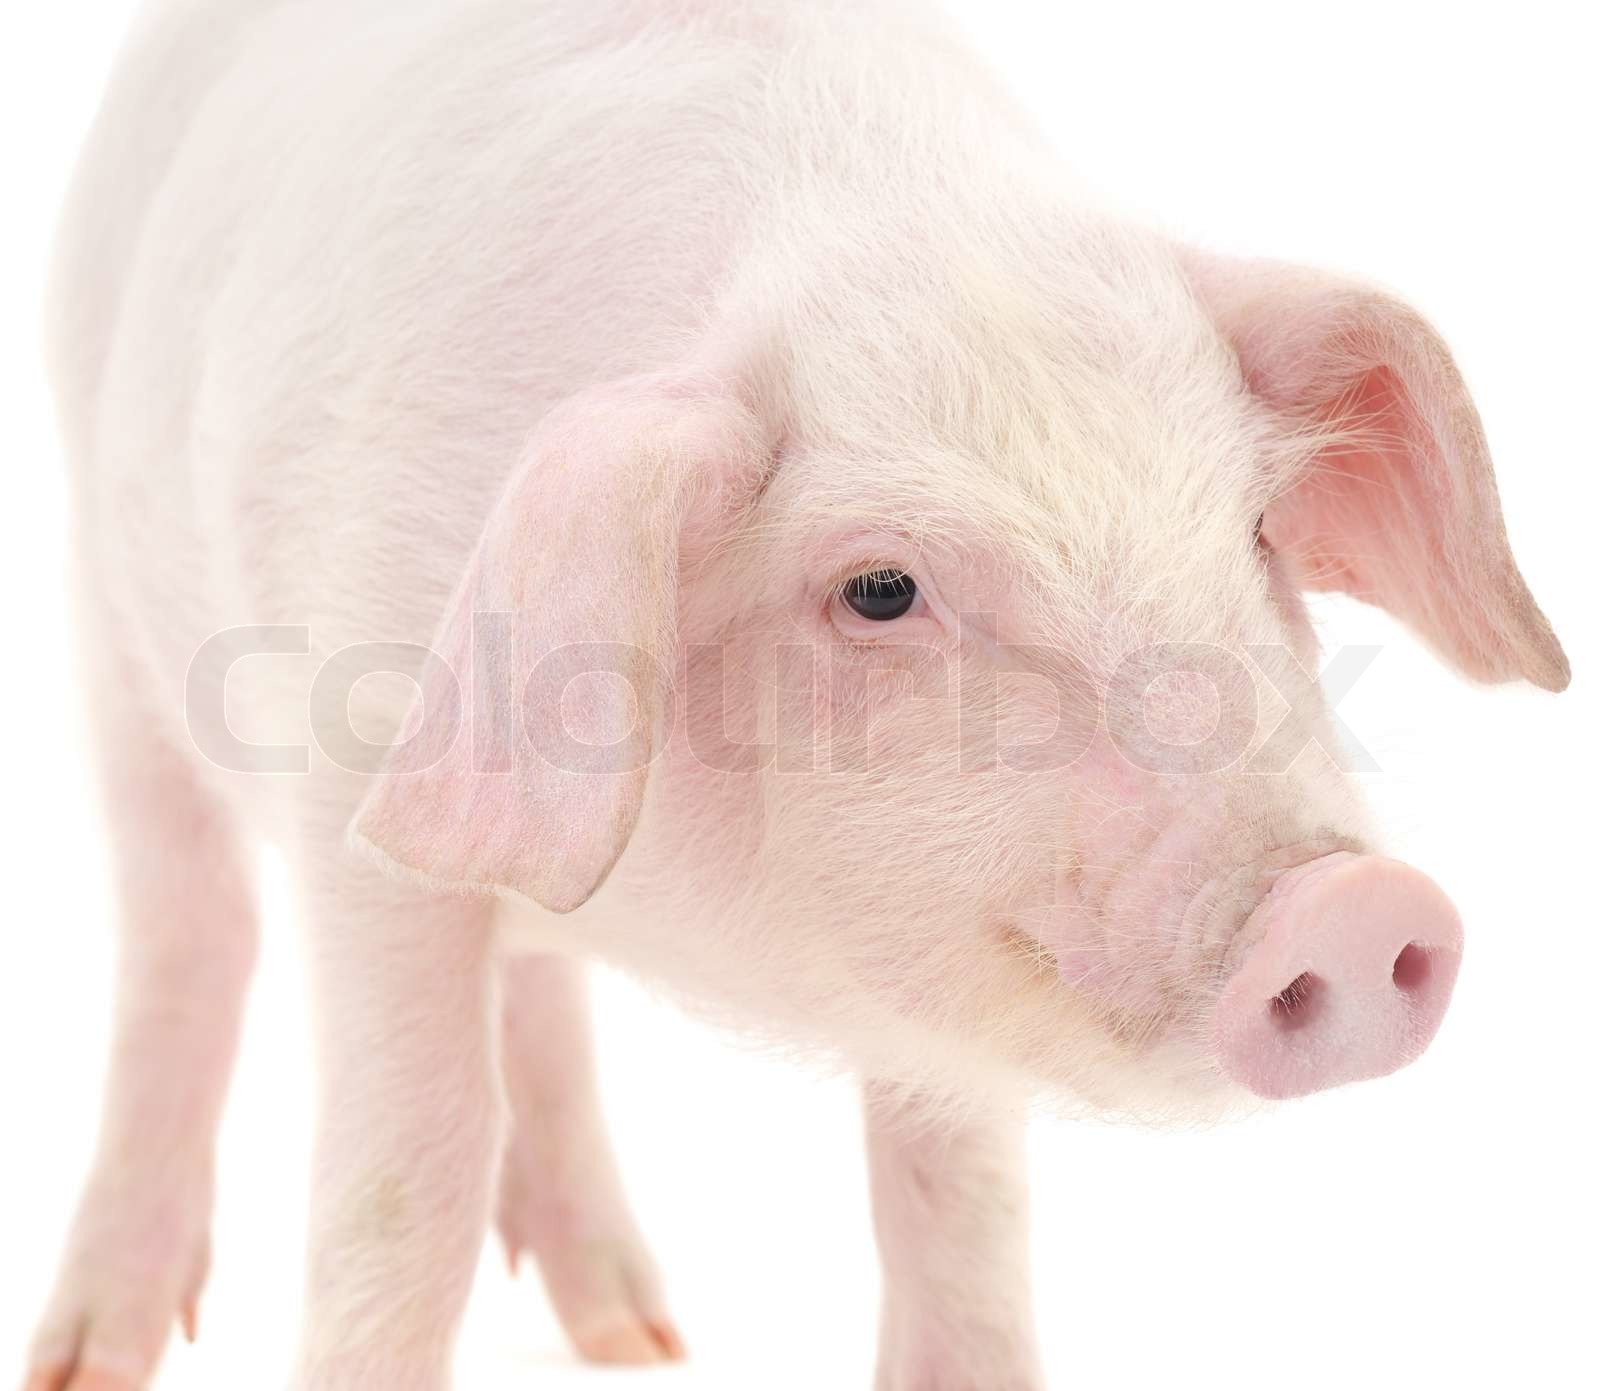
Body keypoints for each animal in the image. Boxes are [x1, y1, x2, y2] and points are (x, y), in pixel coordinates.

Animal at [26, 0, 1568, 1389]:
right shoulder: (360, 797)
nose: (1358, 904)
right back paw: (89, 1357)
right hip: (109, 616)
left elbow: (960, 1205)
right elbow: (413, 1167)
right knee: (189, 939)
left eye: (1253, 530)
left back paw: (636, 1335)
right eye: (880, 588)